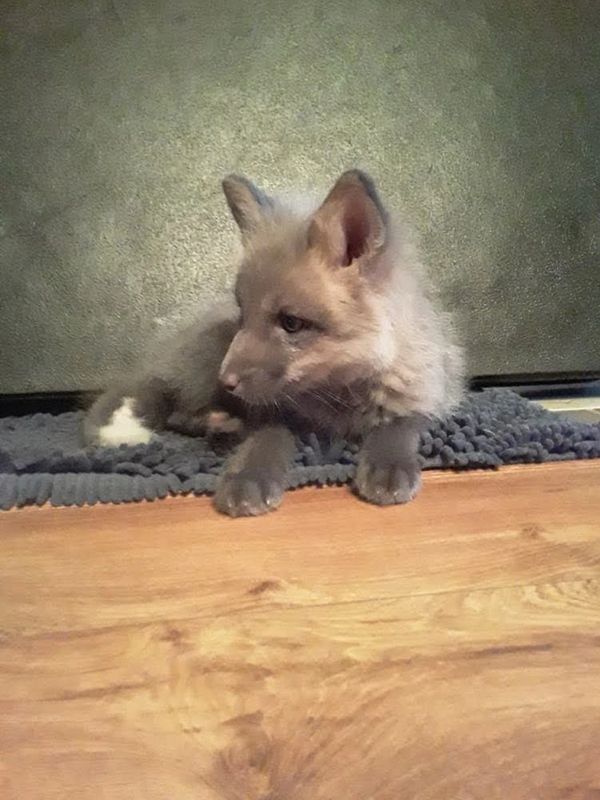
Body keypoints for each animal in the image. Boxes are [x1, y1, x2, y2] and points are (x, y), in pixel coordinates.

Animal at [84, 169, 464, 516]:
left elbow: (398, 427)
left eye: (291, 323)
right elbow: (267, 437)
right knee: (168, 401)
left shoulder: (427, 396)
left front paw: (389, 466)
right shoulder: (274, 411)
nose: (227, 381)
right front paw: (249, 475)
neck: (340, 393)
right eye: (243, 312)